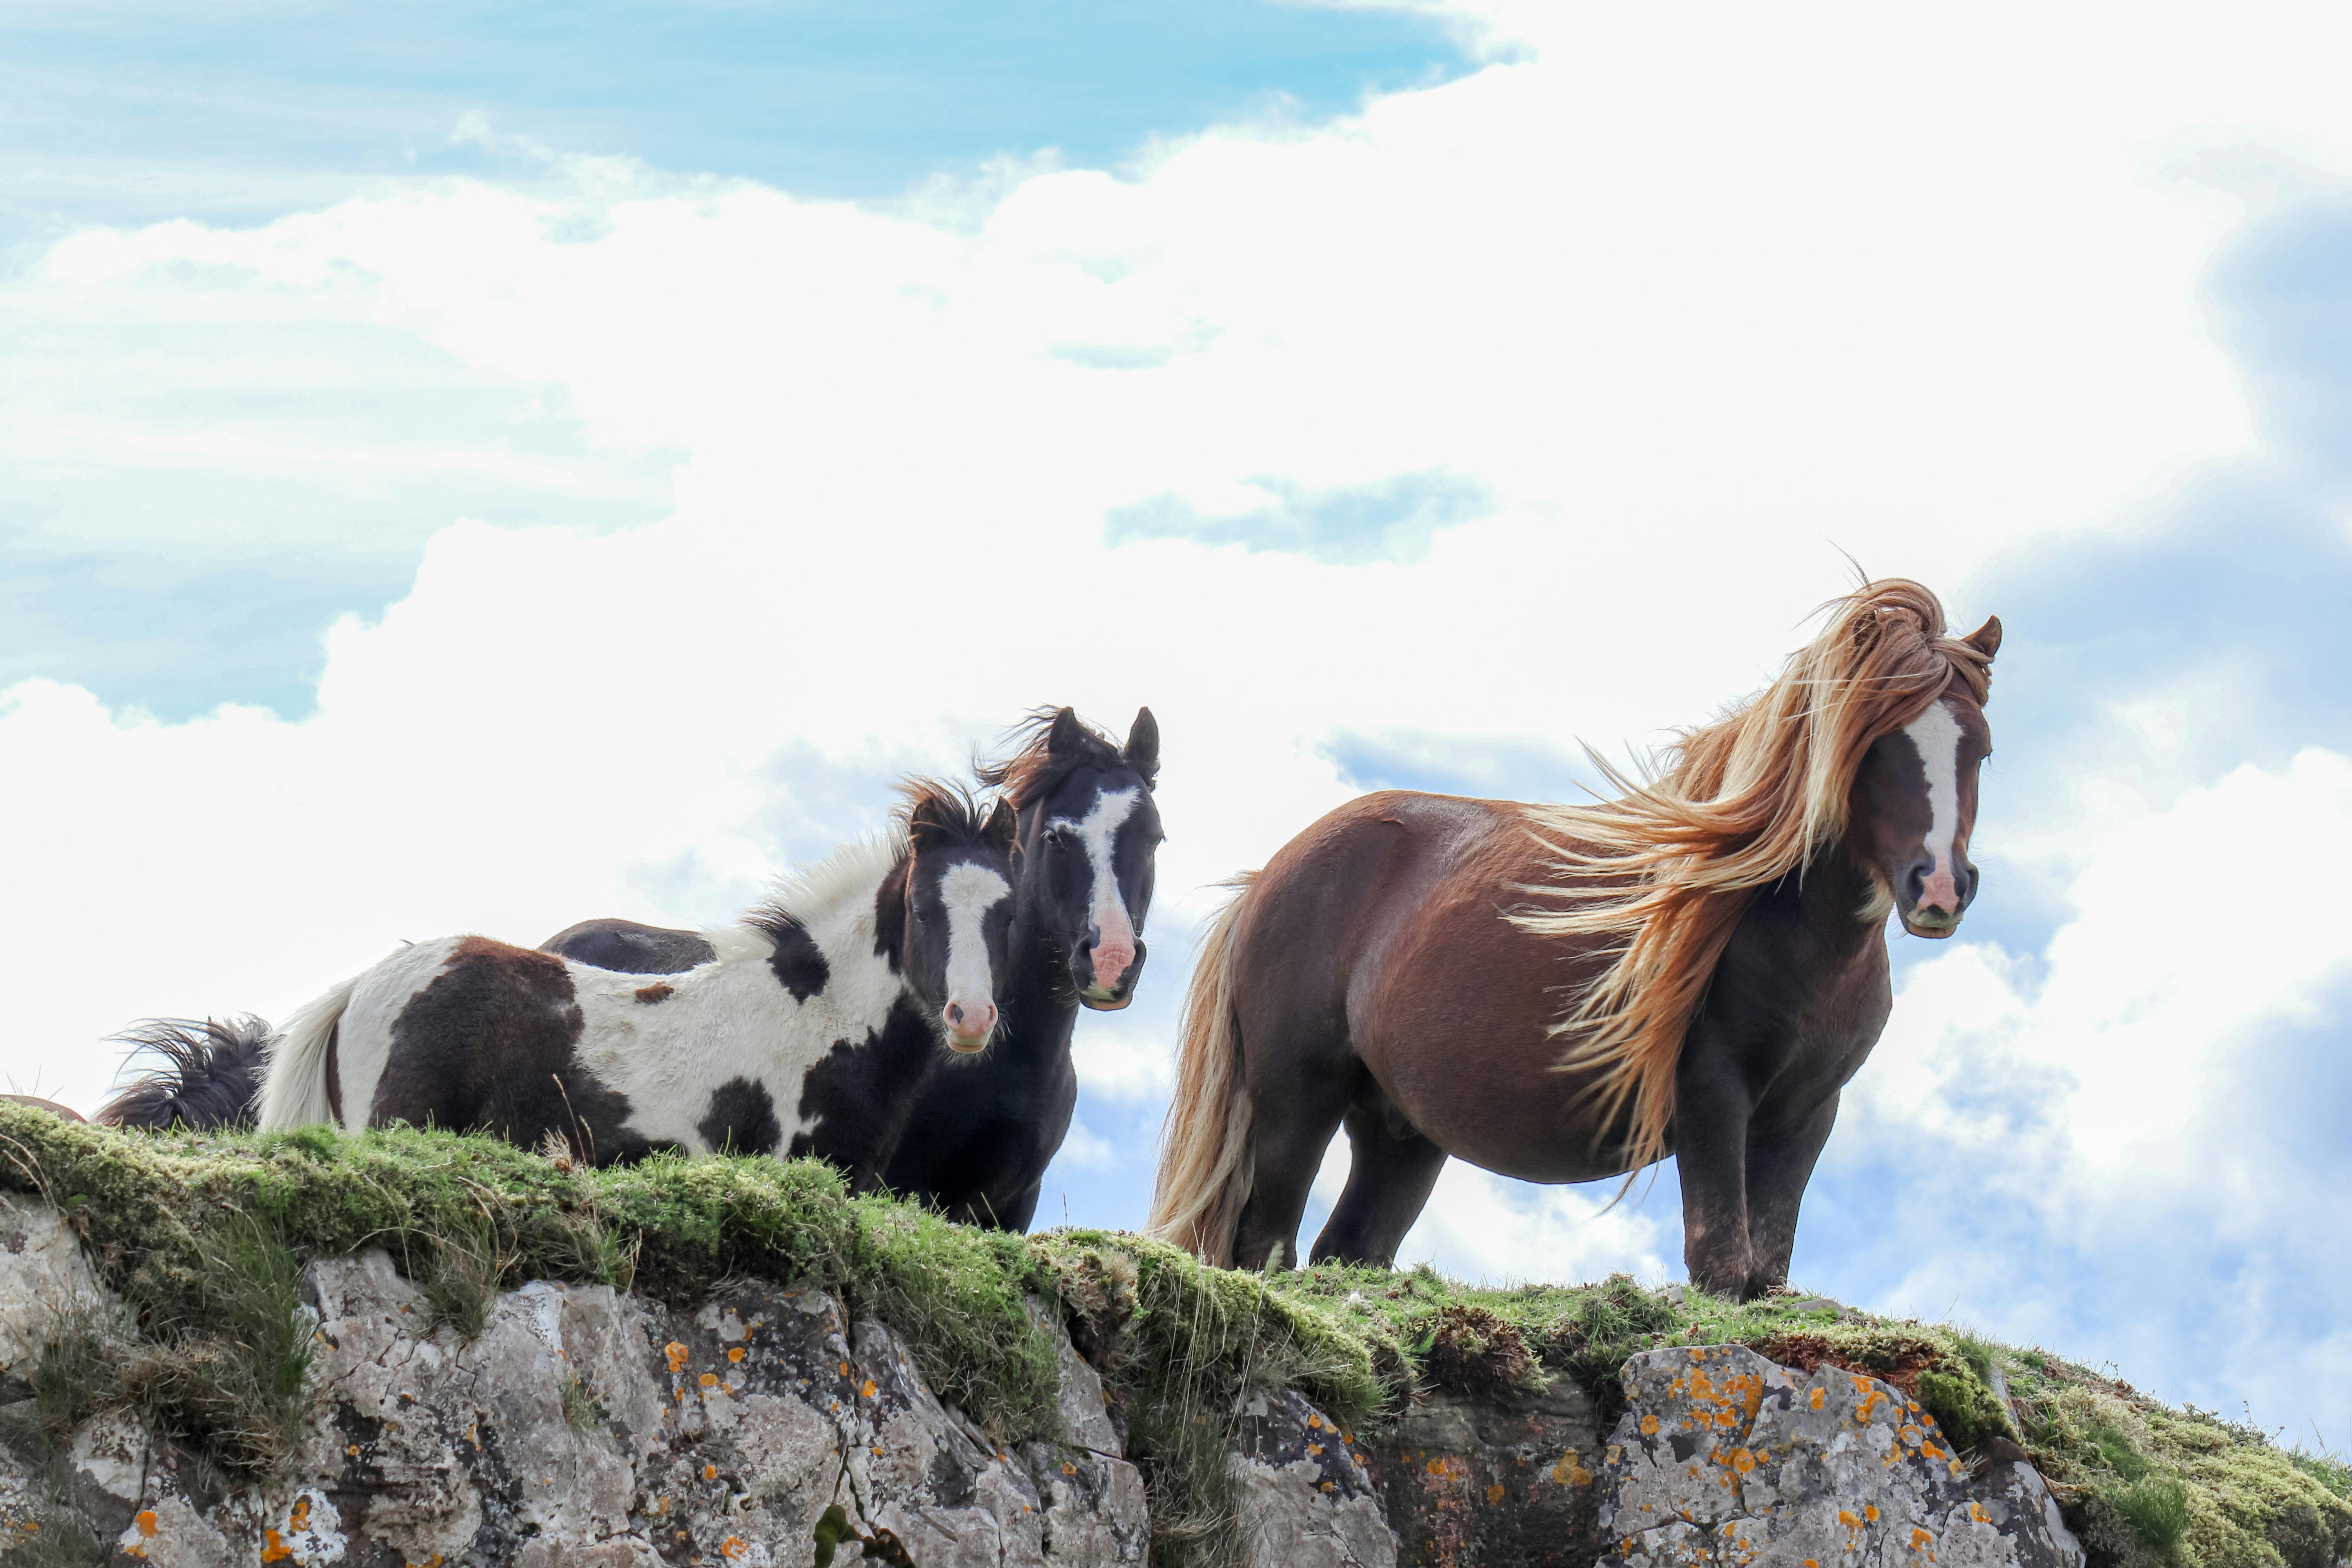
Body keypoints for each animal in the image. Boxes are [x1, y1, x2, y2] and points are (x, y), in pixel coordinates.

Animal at [1147, 580, 1999, 1300]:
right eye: (1875, 744)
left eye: (1981, 748)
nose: (1938, 888)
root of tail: (1270, 875)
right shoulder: (1713, 1092)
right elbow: (1722, 1265)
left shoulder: (1806, 1113)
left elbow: (1767, 1270)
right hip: (1297, 1101)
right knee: (1263, 1245)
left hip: (1401, 1131)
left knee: (1346, 1247)